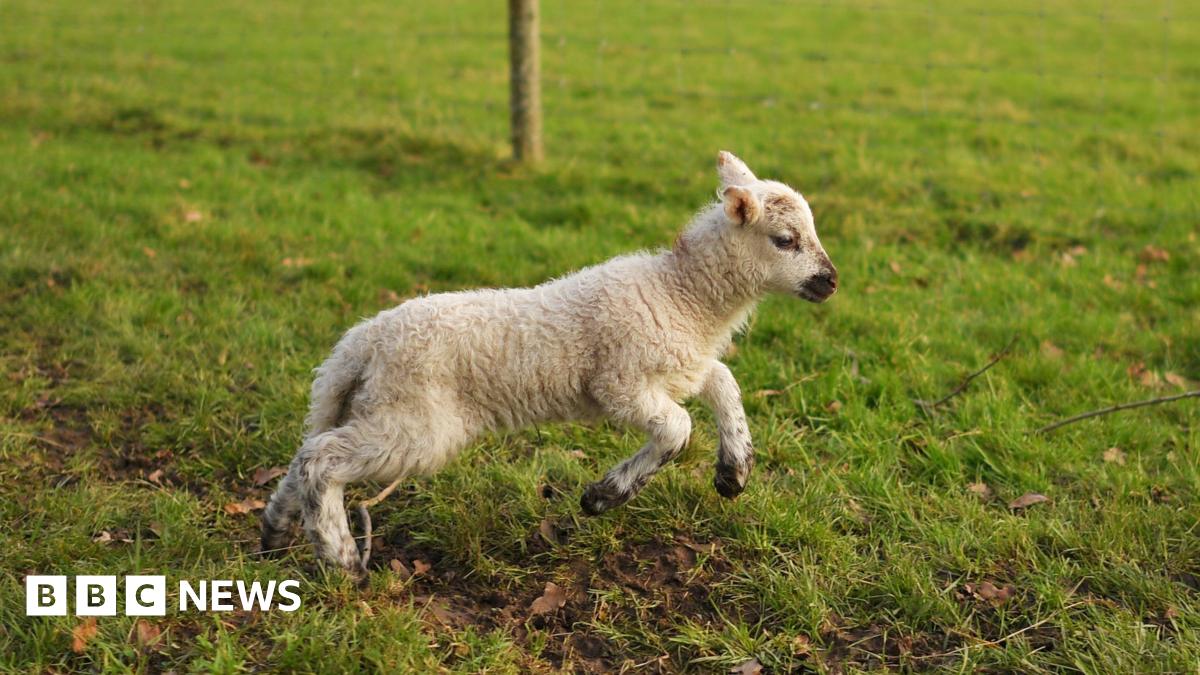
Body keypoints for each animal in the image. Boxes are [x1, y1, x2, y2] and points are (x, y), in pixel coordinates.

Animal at [261, 151, 838, 578]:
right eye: (785, 241)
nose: (831, 281)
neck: (684, 296)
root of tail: (362, 341)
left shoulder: (683, 367)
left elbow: (724, 383)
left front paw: (733, 473)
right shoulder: (619, 383)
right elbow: (677, 428)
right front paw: (604, 496)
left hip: (365, 404)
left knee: (304, 453)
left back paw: (274, 533)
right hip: (414, 424)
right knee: (321, 459)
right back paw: (340, 560)